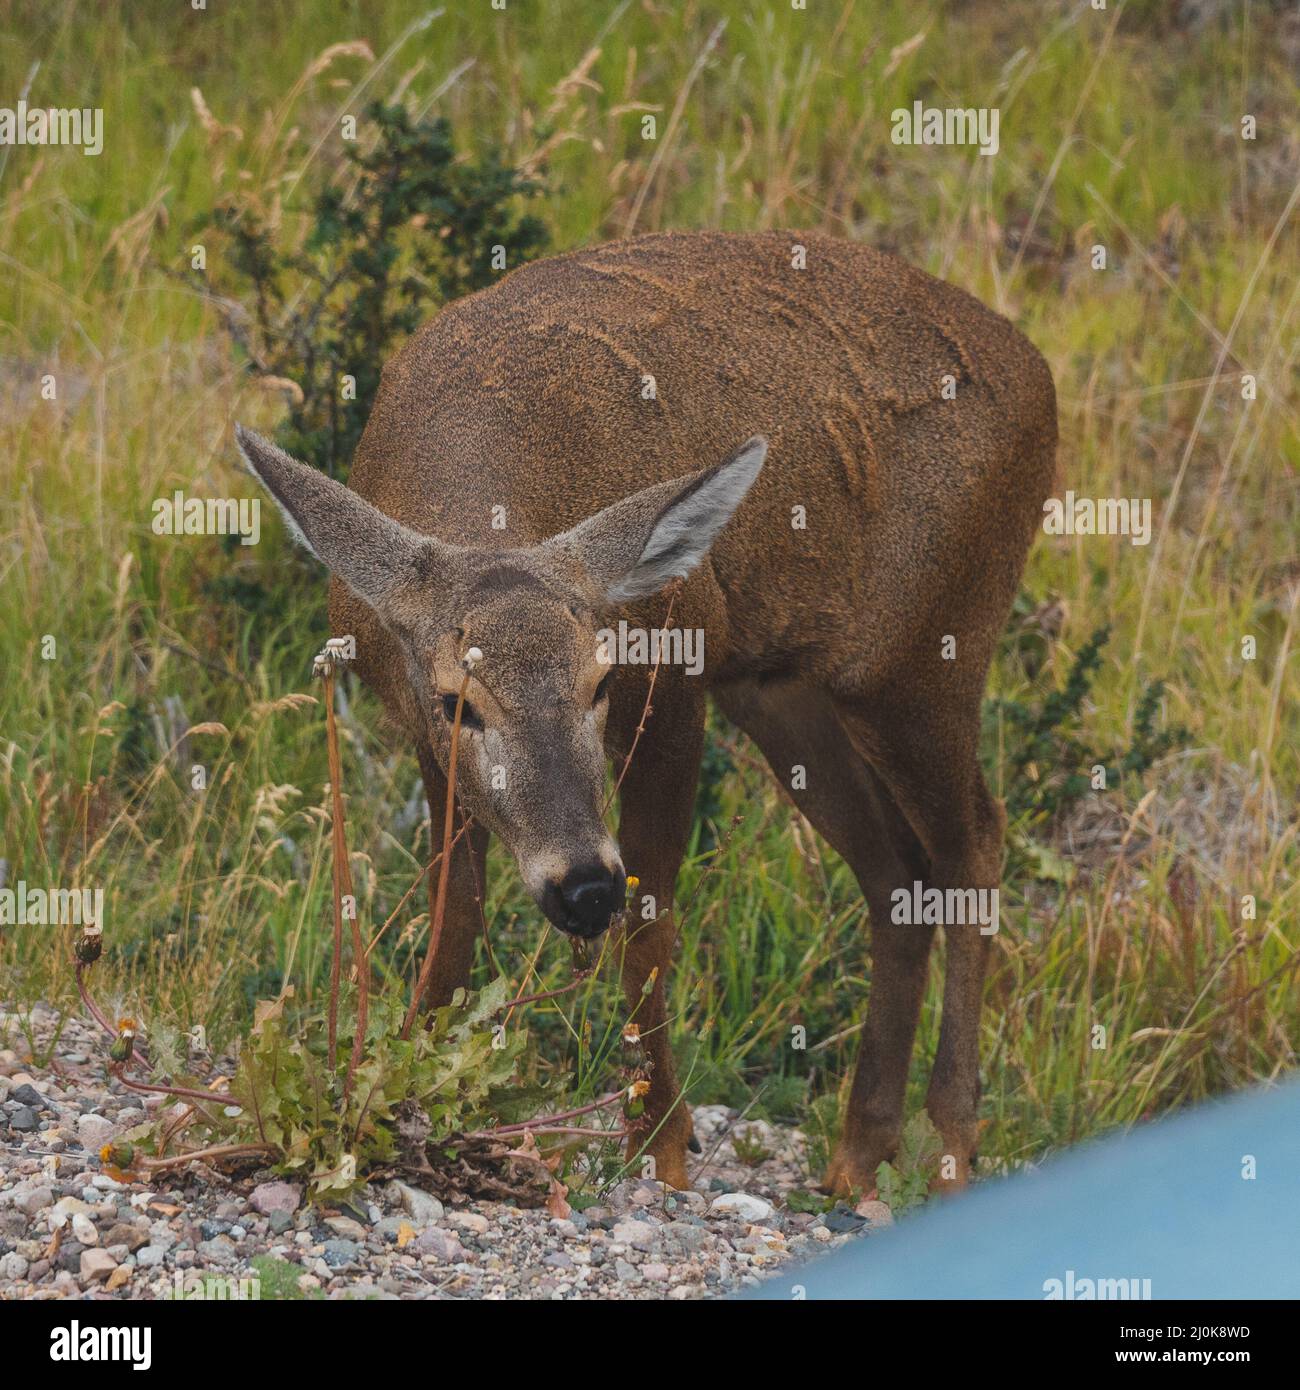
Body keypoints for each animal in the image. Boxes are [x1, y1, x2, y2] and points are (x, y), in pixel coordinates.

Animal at [237, 229, 1057, 1195]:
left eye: (600, 680)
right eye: (455, 700)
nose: (581, 885)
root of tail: (1040, 373)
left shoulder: (676, 686)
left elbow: (651, 929)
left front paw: (660, 1140)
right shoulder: (426, 743)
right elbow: (454, 915)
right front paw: (408, 1076)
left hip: (922, 656)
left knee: (977, 842)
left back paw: (951, 1143)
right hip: (786, 690)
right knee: (897, 873)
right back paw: (858, 1156)